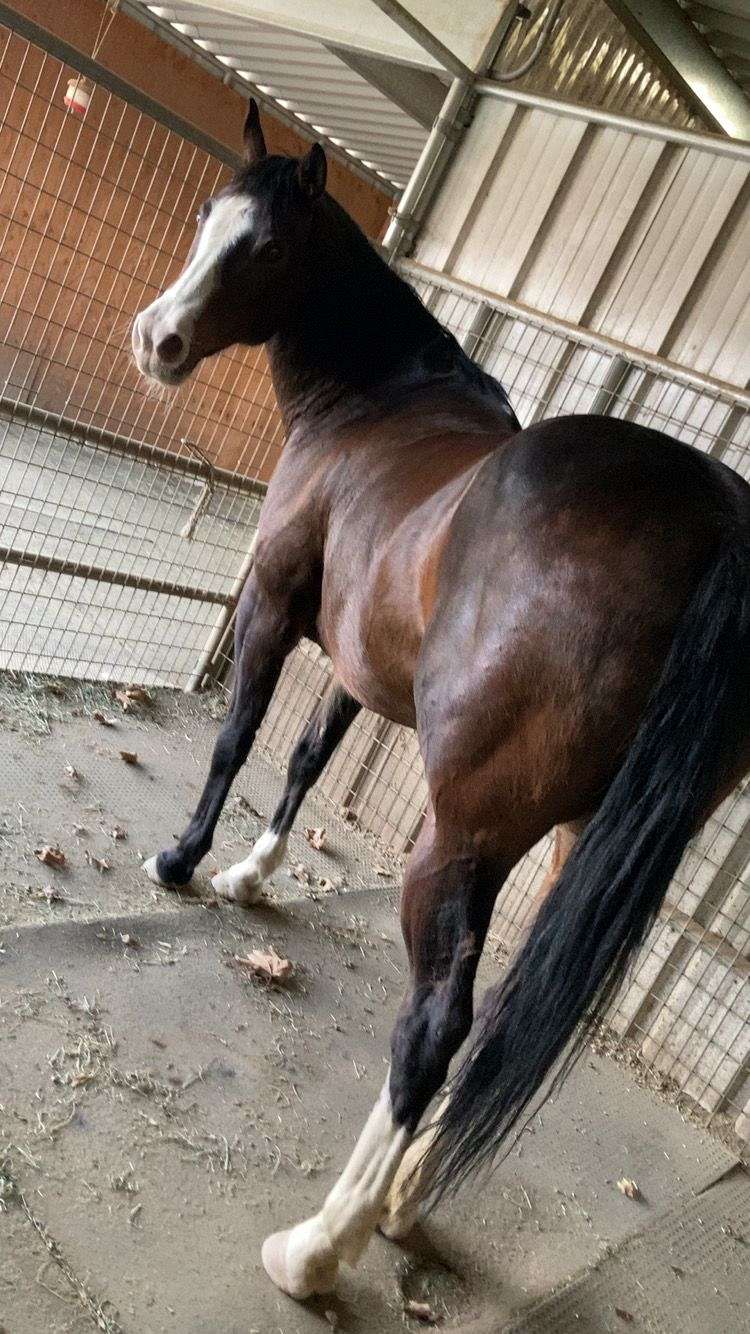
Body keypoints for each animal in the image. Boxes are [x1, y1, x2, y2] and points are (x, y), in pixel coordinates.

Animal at [131, 100, 750, 1300]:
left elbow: (238, 737)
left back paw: (320, 1245)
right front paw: (250, 873)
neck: (379, 405)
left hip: (463, 840)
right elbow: (305, 756)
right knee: (507, 1011)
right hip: (577, 842)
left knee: (435, 1024)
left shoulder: (271, 605)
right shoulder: (363, 670)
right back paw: (408, 1196)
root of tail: (716, 520)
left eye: (264, 248)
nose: (156, 343)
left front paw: (183, 860)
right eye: (204, 218)